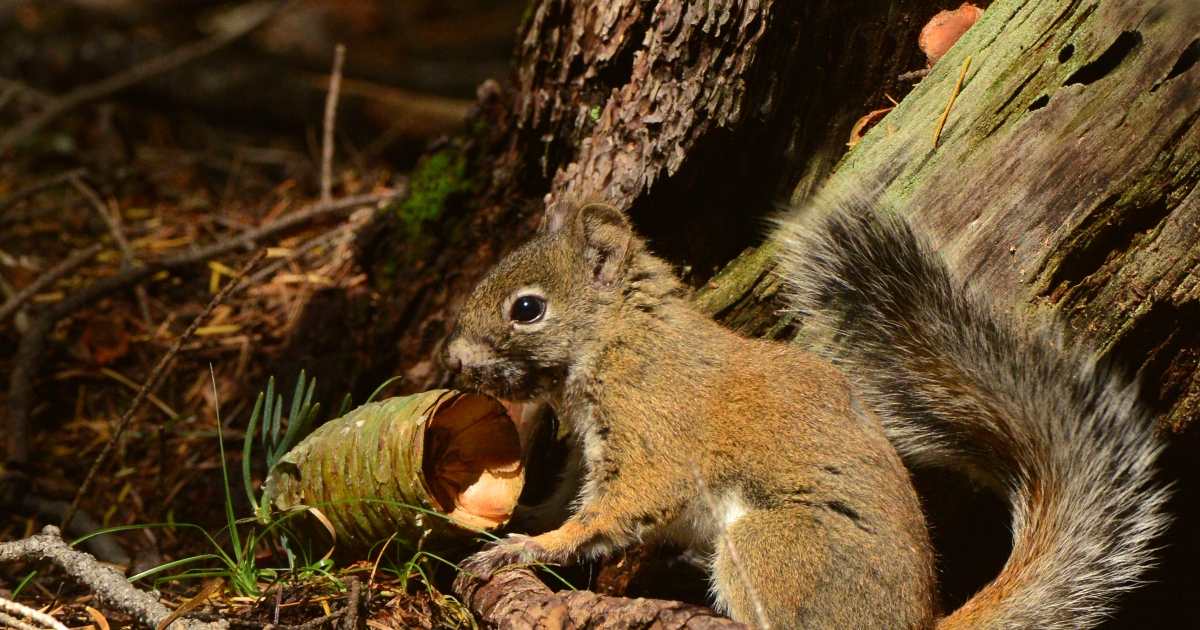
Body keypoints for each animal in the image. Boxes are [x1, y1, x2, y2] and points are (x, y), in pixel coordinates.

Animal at [442, 193, 1168, 630]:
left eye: (527, 308)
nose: (451, 359)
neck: (621, 336)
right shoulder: (591, 446)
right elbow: (564, 496)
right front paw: (516, 523)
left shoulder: (653, 428)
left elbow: (616, 509)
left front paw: (526, 549)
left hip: (772, 548)